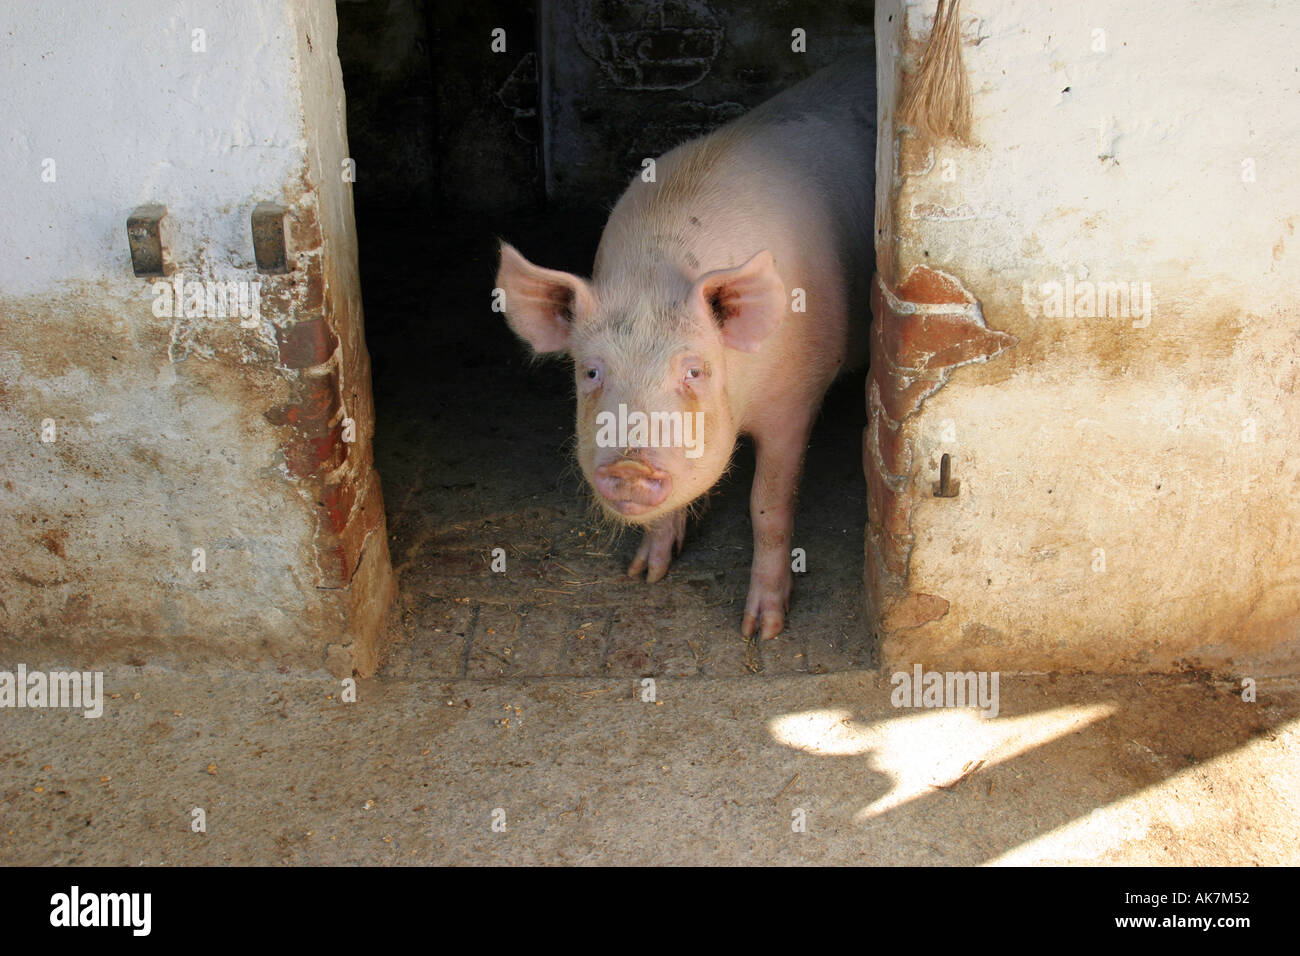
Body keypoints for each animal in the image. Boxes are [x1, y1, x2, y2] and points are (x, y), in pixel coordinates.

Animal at [495, 55, 875, 639]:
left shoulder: (796, 400)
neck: (654, 277)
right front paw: (644, 574)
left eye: (694, 371)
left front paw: (761, 630)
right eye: (591, 372)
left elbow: (768, 506)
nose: (630, 466)